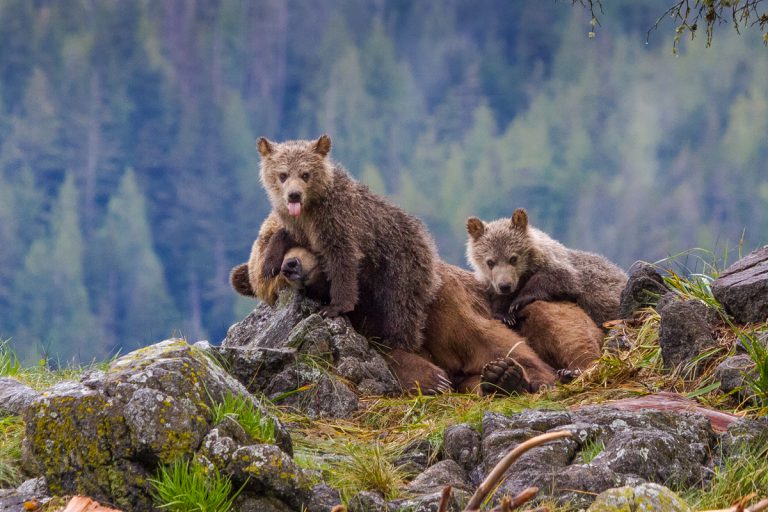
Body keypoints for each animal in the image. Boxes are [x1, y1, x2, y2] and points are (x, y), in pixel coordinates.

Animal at [257, 135, 440, 354]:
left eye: (305, 174)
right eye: (283, 174)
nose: (294, 195)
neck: (311, 207)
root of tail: (427, 239)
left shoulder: (338, 221)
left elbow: (342, 261)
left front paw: (334, 307)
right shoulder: (303, 227)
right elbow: (287, 235)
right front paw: (269, 264)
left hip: (400, 267)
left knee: (401, 308)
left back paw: (396, 343)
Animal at [466, 208, 628, 327]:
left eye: (513, 258)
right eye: (490, 262)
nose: (505, 285)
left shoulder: (566, 269)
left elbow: (557, 278)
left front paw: (517, 302)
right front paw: (506, 315)